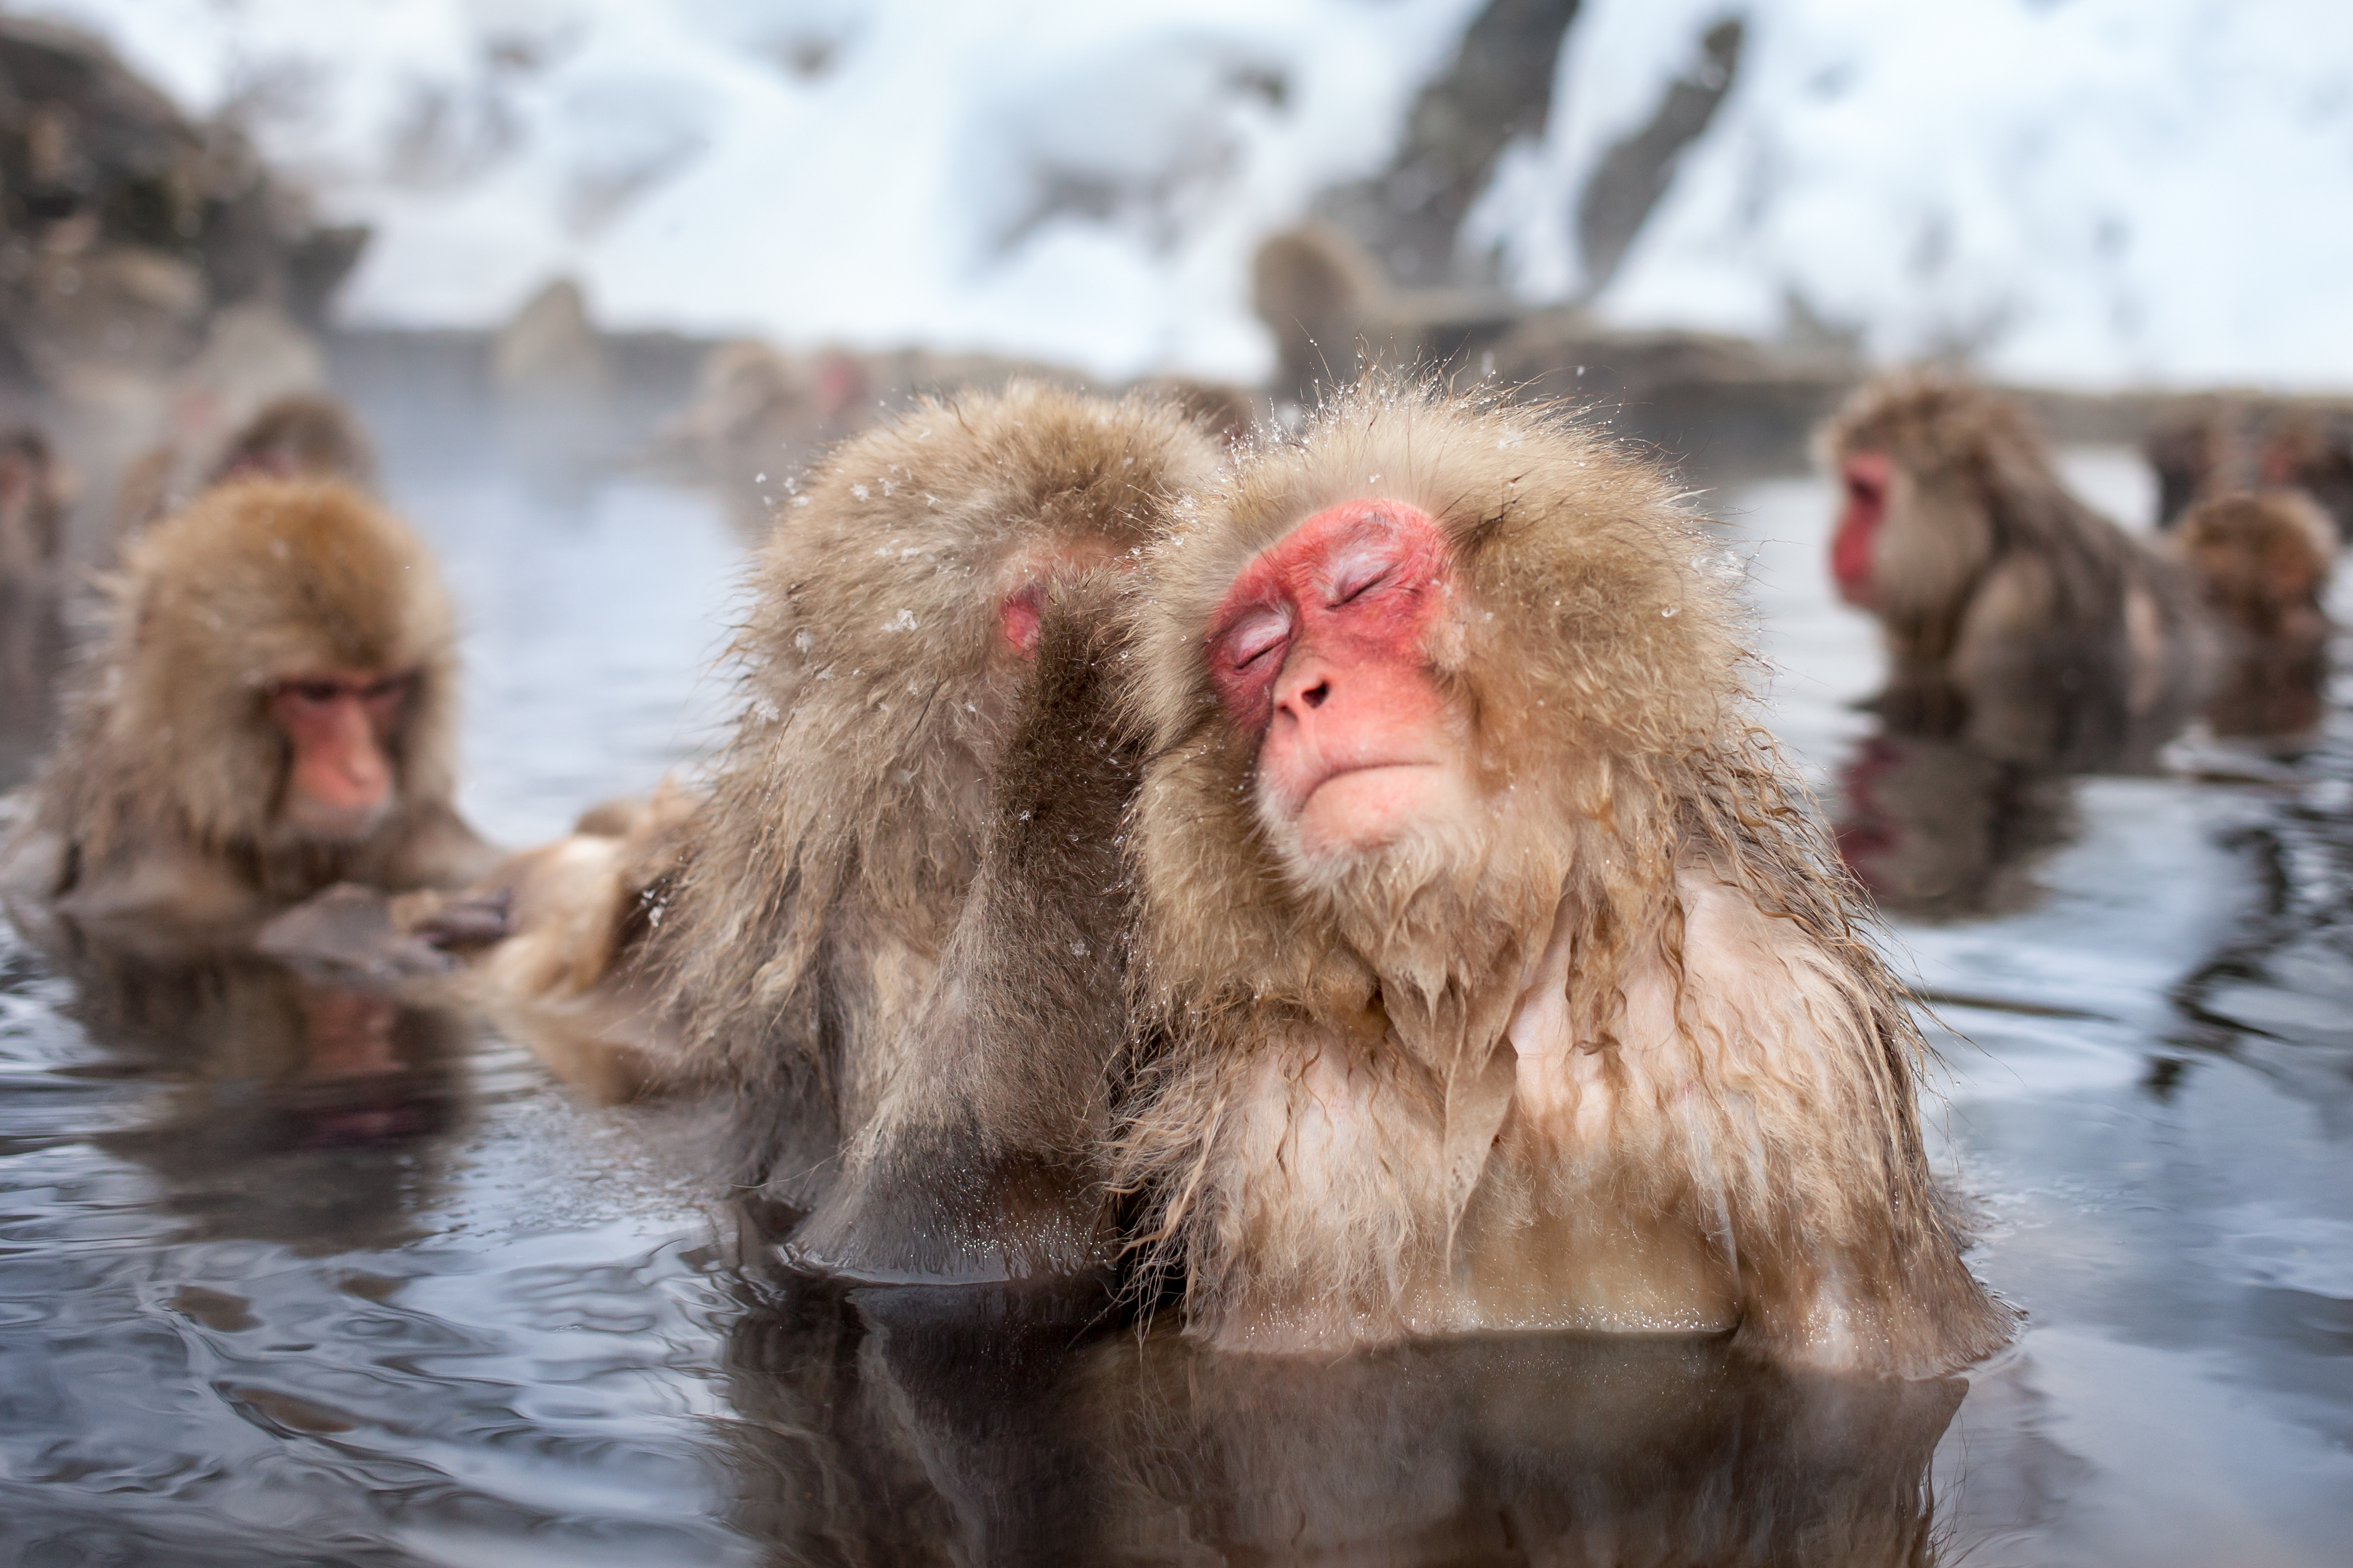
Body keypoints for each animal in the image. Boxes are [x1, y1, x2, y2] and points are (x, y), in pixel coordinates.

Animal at [1111, 383, 2012, 1375]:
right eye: (1256, 650)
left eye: (1361, 587)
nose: (1299, 694)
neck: (1497, 1001)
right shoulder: (1281, 1132)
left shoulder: (1795, 1045)